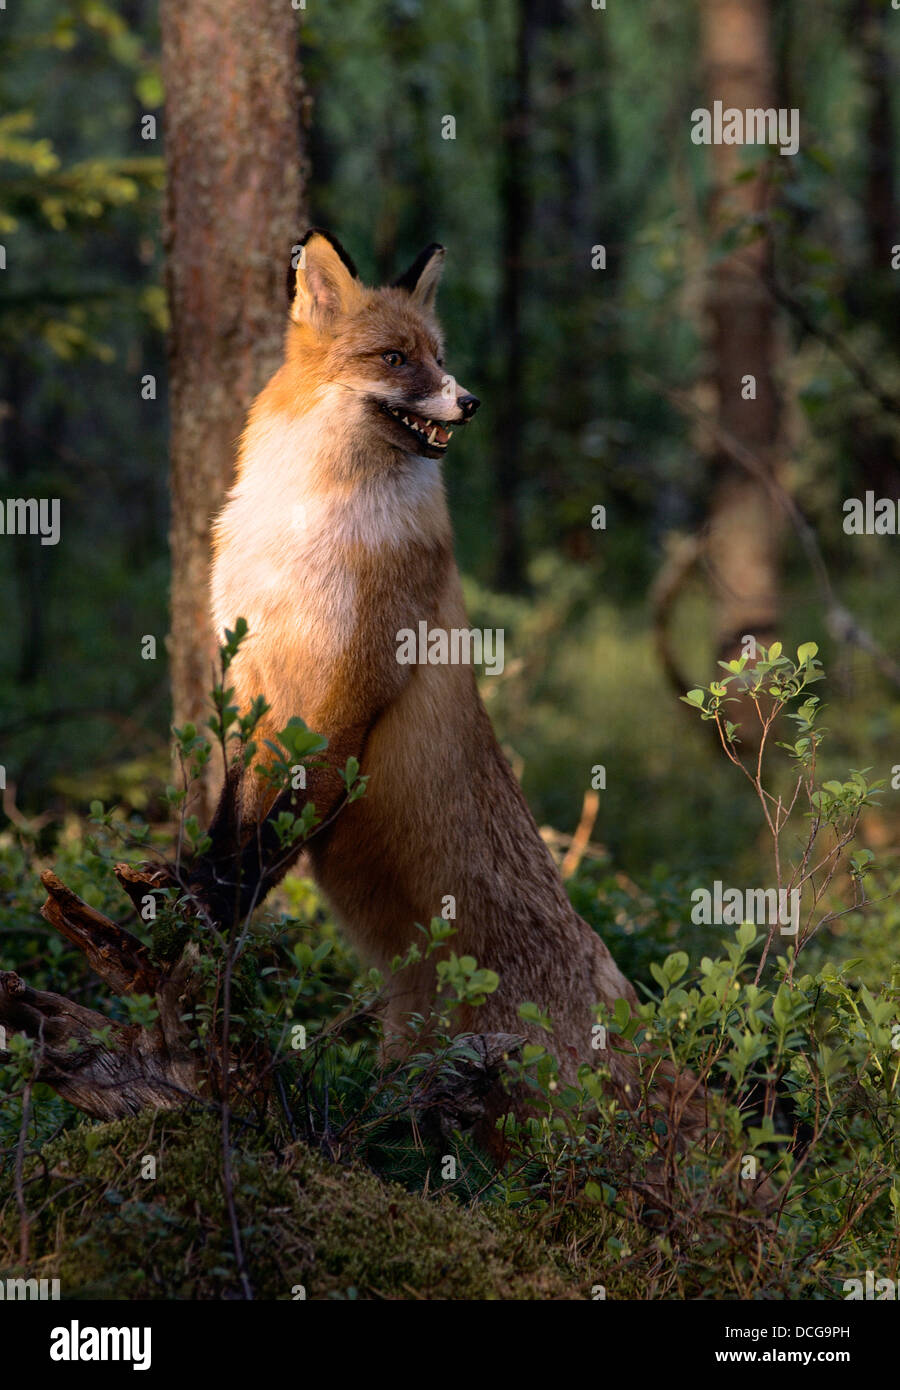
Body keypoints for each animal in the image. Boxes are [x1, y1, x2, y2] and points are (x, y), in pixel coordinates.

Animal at [207, 229, 701, 1145]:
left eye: (440, 355)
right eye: (396, 358)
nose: (469, 401)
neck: (308, 521)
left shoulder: (341, 693)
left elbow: (267, 842)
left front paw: (205, 916)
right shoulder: (254, 683)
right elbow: (231, 820)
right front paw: (181, 895)